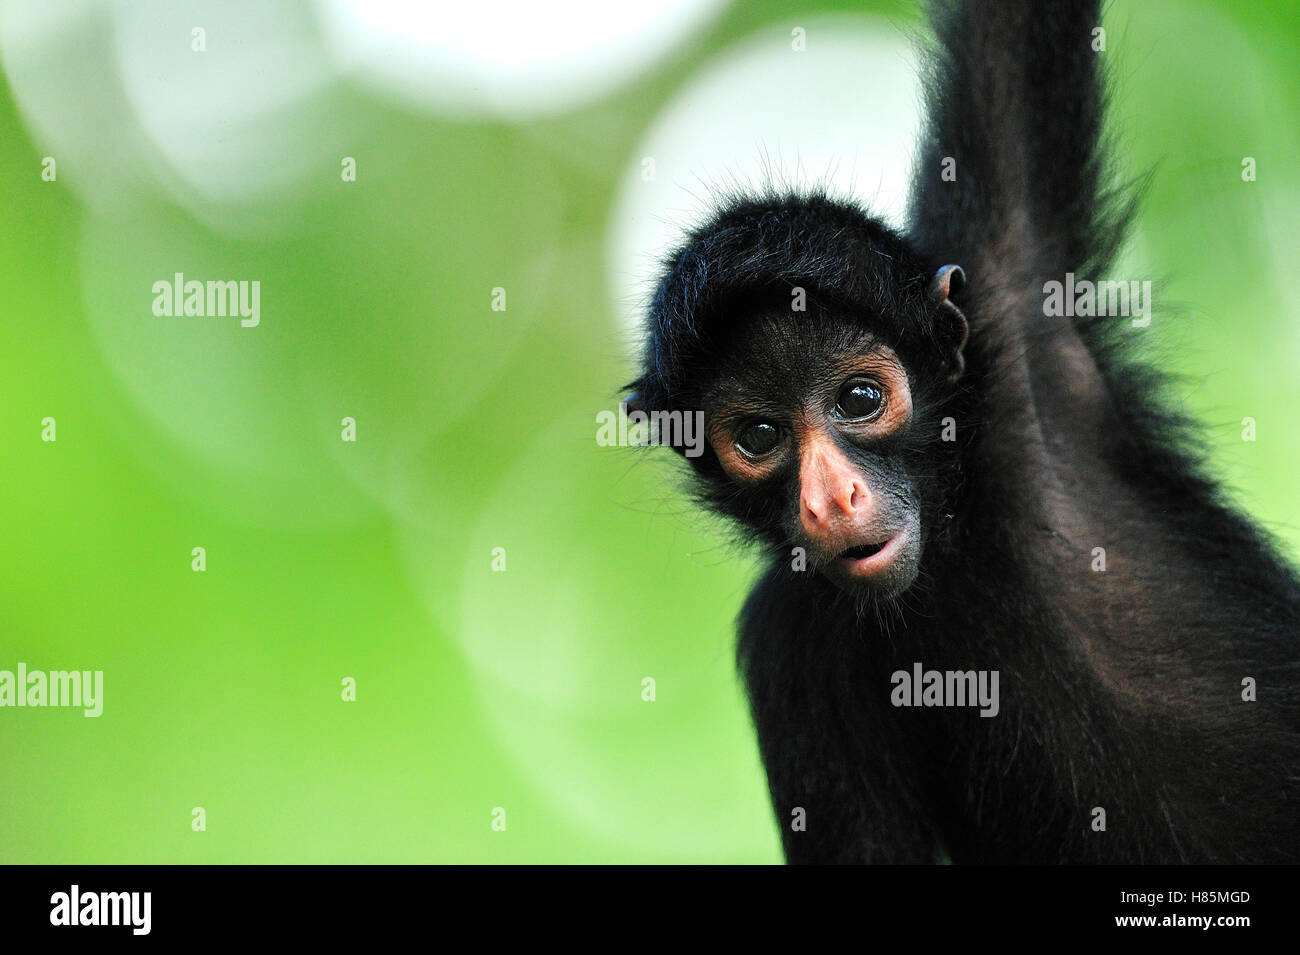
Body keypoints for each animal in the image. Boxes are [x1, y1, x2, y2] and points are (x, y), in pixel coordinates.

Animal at [623, 0, 1300, 864]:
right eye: (760, 438)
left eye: (860, 397)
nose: (831, 497)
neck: (948, 554)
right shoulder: (787, 640)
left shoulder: (1012, 308)